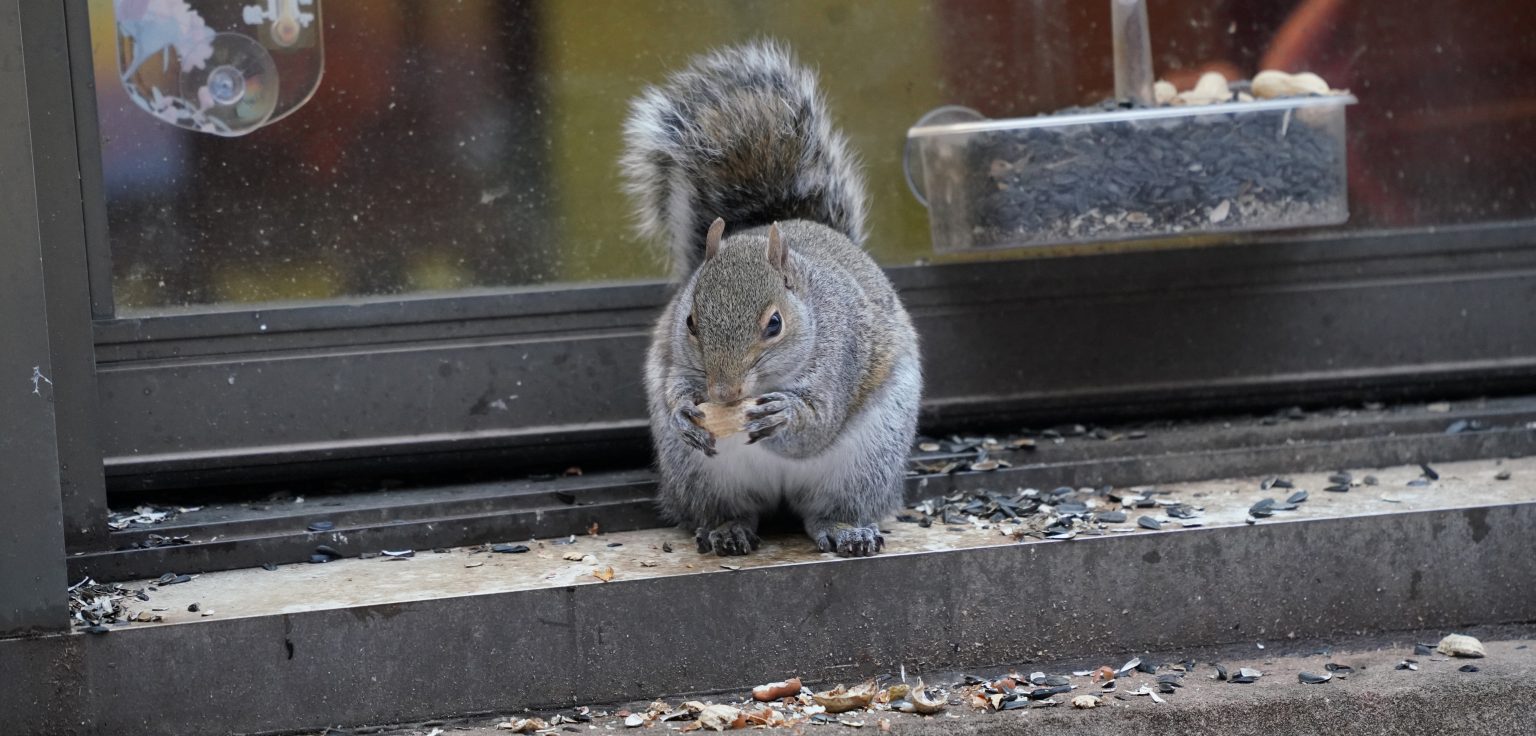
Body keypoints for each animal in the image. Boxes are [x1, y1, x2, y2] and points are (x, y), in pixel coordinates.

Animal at [620, 40, 922, 557]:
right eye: (690, 322)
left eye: (775, 324)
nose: (722, 393)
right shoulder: (675, 358)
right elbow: (675, 384)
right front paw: (683, 411)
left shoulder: (842, 359)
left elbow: (817, 424)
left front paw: (788, 415)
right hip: (702, 477)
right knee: (730, 509)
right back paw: (726, 529)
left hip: (864, 463)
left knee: (830, 508)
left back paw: (848, 529)